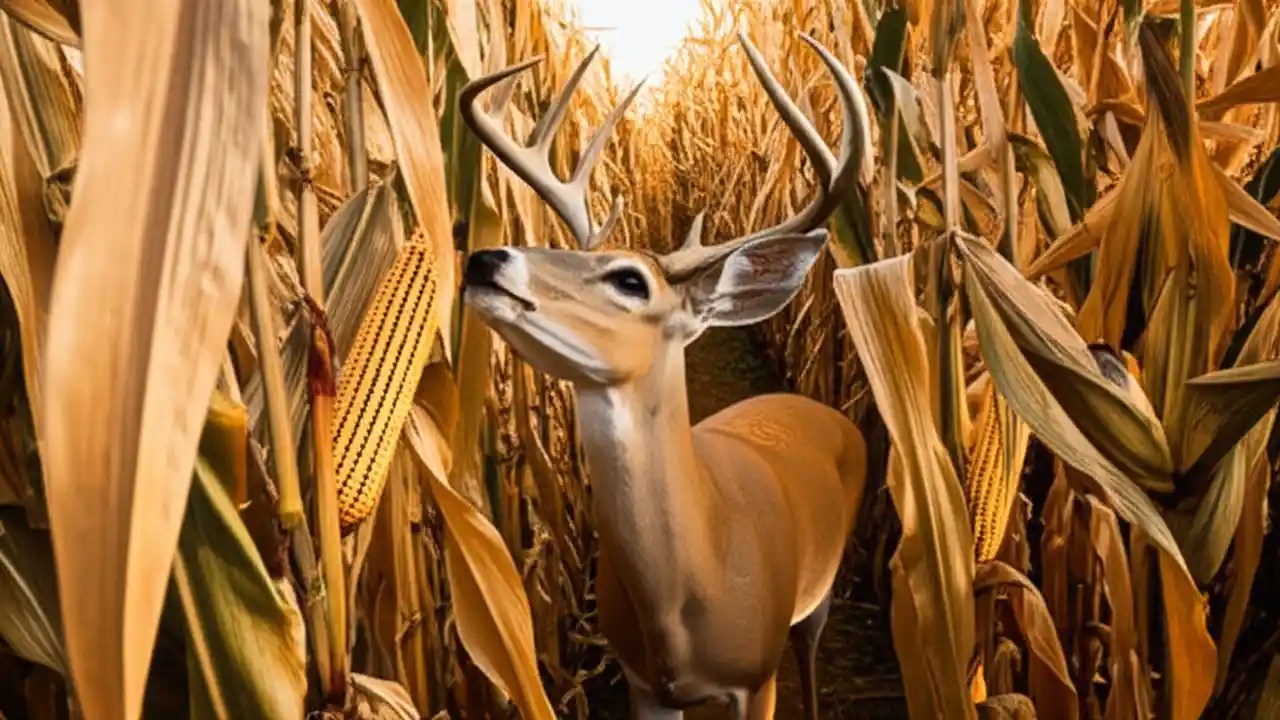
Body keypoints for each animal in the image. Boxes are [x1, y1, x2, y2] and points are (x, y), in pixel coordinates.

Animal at [458, 32, 871, 720]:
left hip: (822, 585)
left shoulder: (758, 678)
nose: (485, 259)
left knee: (809, 651)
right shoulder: (642, 683)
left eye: (631, 280)